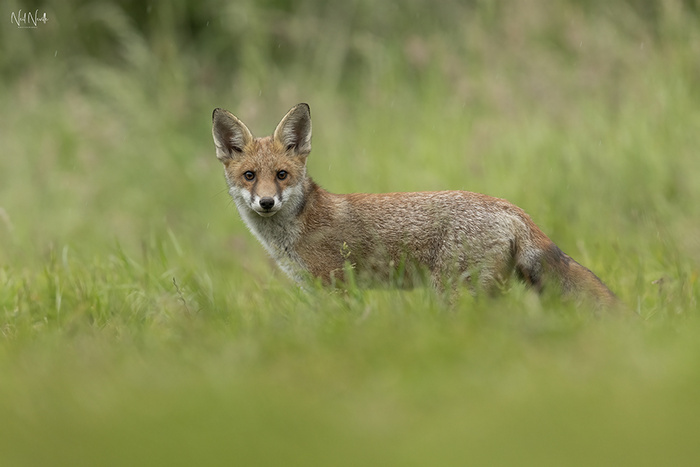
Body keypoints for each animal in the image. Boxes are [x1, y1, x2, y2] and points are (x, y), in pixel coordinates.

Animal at [211, 103, 617, 307]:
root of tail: (510, 207)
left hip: (451, 294)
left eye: (281, 175)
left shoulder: (337, 287)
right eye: (250, 176)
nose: (266, 202)